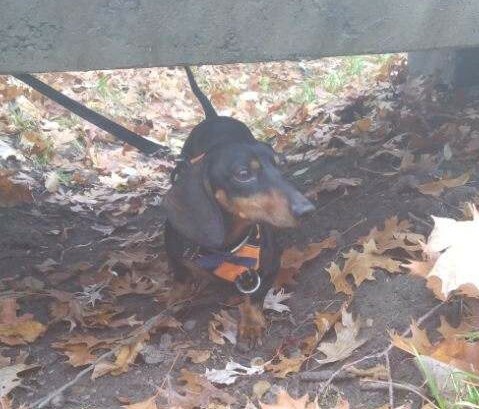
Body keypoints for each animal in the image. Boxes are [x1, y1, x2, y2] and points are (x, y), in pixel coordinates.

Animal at [163, 66, 316, 344]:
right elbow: (179, 276)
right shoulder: (173, 250)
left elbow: (255, 295)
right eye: (243, 174)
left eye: (280, 164)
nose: (306, 210)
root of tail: (214, 117)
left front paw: (251, 323)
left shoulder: (270, 265)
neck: (225, 248)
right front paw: (176, 297)